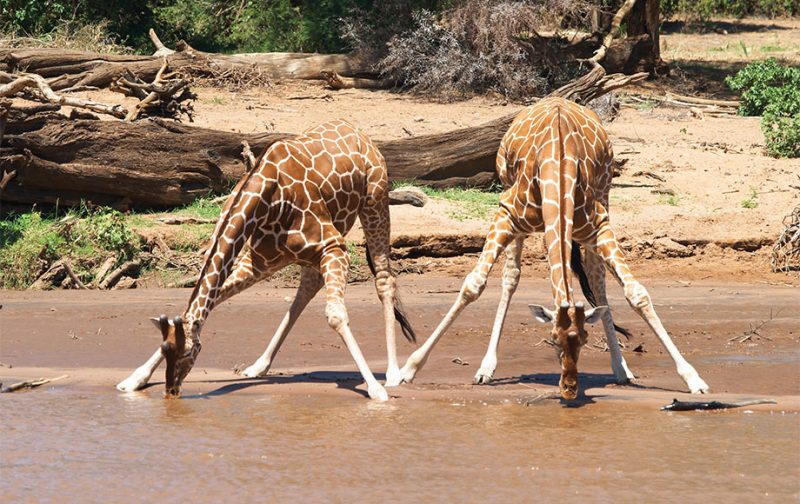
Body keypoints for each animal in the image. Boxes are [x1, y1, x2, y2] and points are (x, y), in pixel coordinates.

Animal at [116, 119, 415, 401]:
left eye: (190, 352)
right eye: (165, 349)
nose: (172, 391)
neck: (266, 198)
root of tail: (358, 132)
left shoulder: (334, 245)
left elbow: (335, 315)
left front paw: (376, 390)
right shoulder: (257, 262)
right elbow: (213, 299)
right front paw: (134, 379)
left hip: (375, 201)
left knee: (383, 279)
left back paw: (394, 373)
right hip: (305, 254)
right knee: (305, 291)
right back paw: (258, 366)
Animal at [387, 97, 709, 399]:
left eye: (583, 341)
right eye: (552, 340)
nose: (568, 388)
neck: (558, 170)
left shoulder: (599, 226)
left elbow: (637, 293)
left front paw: (693, 379)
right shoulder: (506, 215)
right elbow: (473, 285)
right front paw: (409, 369)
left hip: (604, 196)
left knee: (597, 279)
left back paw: (621, 369)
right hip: (511, 198)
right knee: (511, 277)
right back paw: (486, 368)